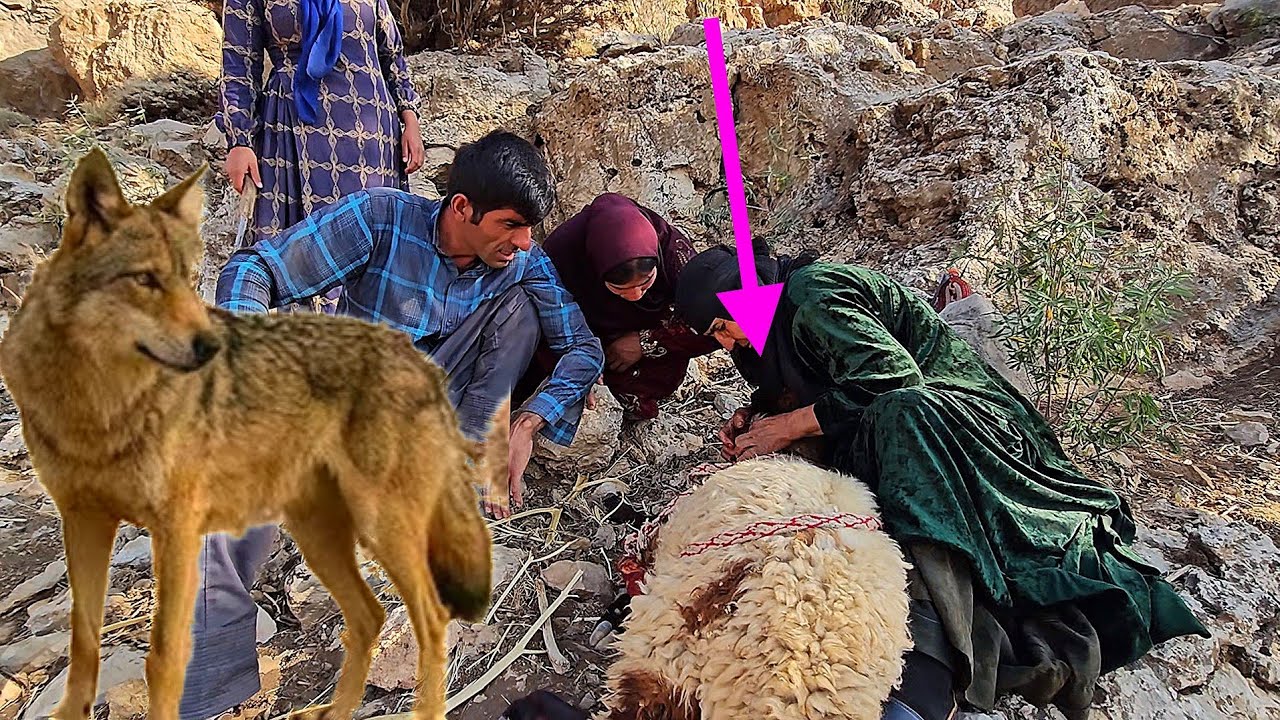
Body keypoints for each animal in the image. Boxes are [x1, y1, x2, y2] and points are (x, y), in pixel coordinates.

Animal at [0, 147, 502, 720]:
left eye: (189, 277)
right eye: (146, 280)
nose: (210, 347)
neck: (95, 410)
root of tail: (421, 361)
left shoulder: (176, 530)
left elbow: (164, 658)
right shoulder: (83, 520)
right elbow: (84, 640)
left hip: (381, 528)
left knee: (431, 618)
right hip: (317, 535)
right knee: (370, 616)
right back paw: (334, 711)